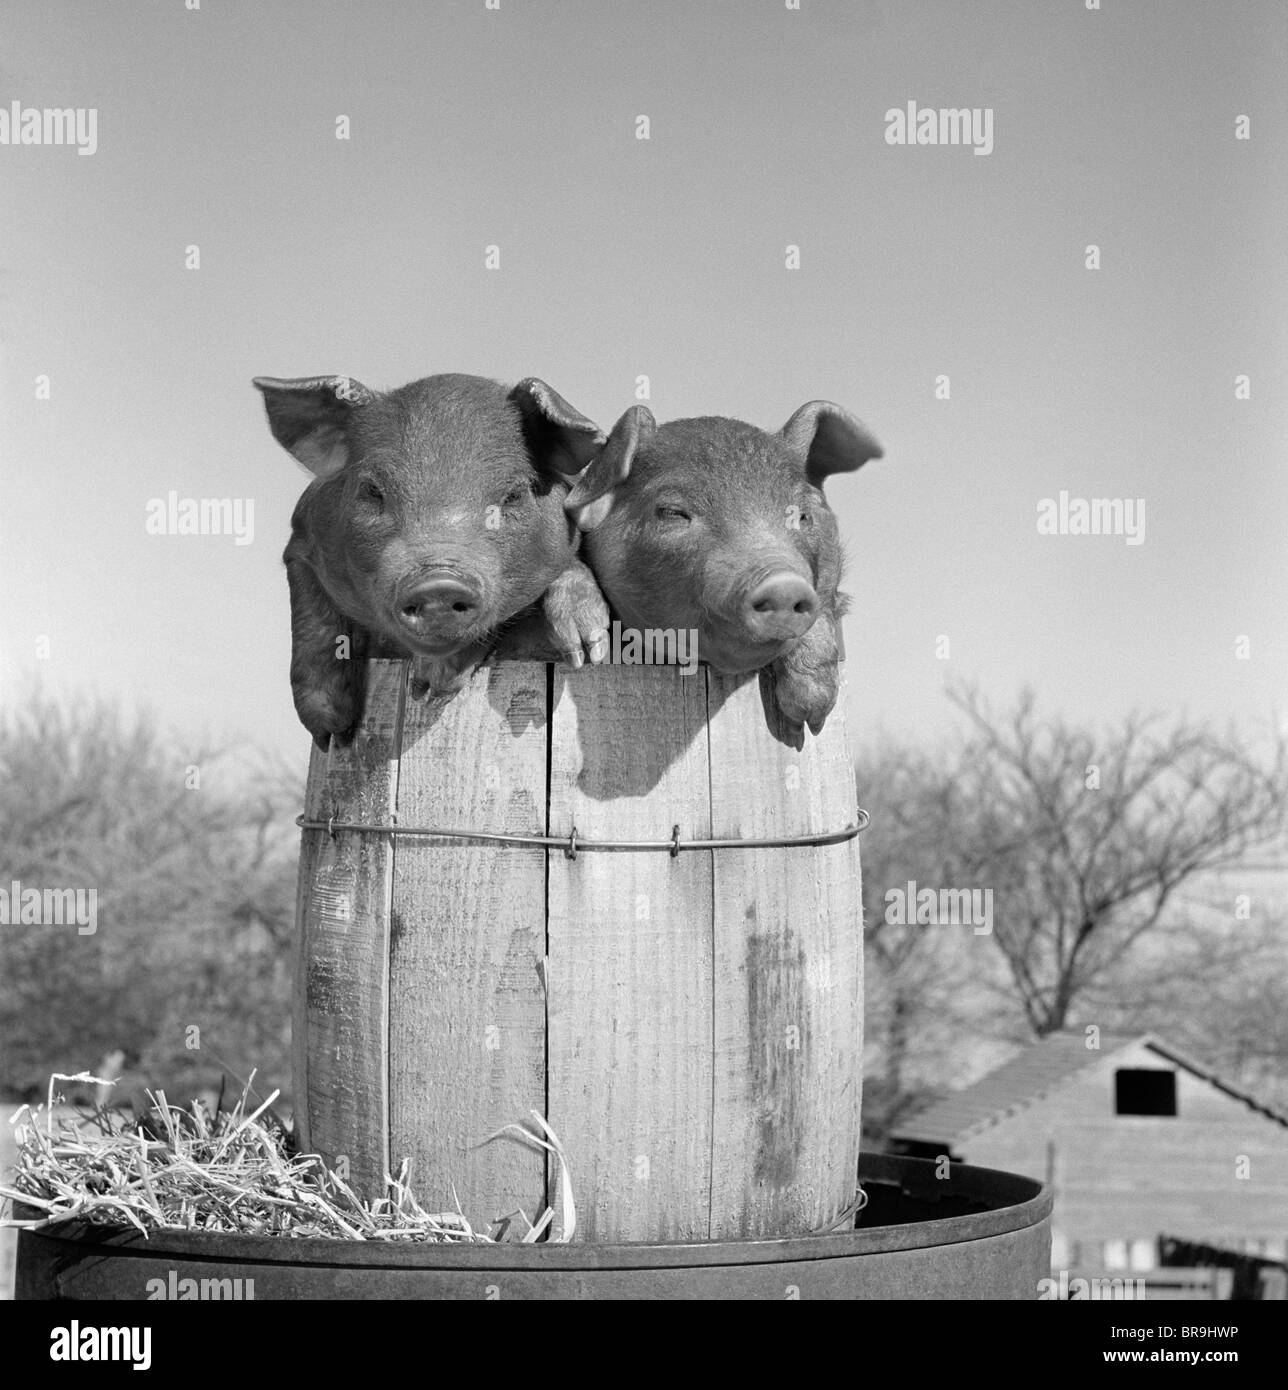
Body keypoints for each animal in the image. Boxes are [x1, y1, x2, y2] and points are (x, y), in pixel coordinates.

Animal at [254, 372, 611, 747]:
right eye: (372, 490)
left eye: (514, 494)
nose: (438, 581)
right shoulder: (303, 536)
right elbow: (313, 620)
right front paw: (332, 735)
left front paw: (586, 651)